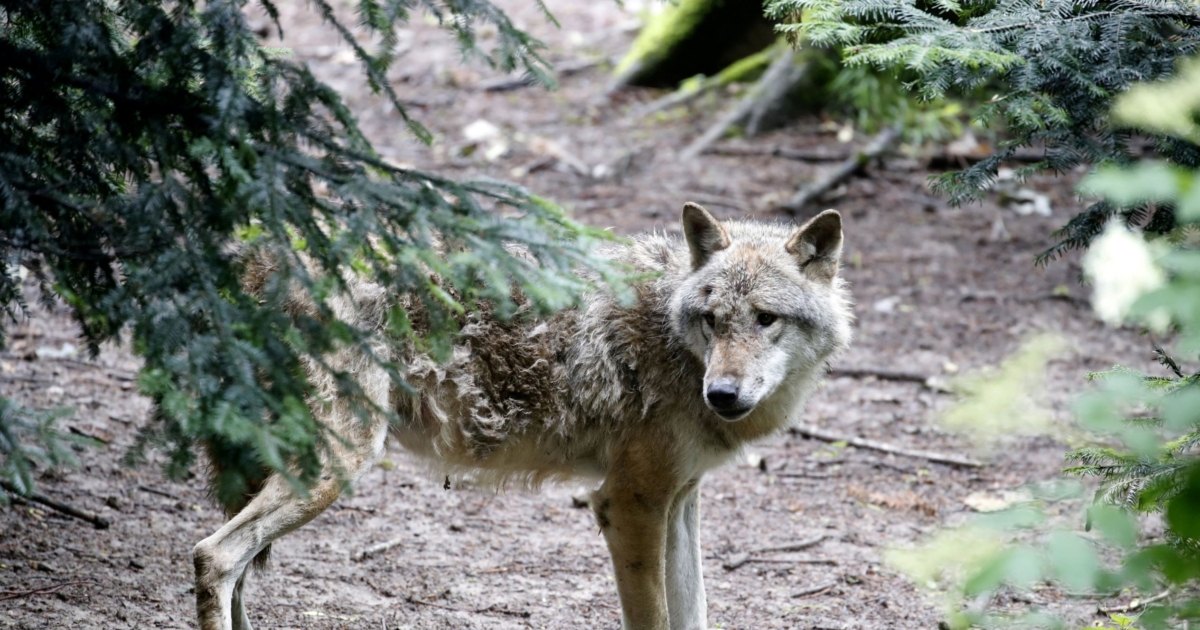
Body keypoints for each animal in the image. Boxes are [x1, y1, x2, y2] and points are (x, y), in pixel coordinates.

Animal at [192, 203, 852, 630]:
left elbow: (694, 617)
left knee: (238, 566)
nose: (723, 394)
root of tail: (251, 258)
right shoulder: (628, 503)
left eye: (765, 319)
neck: (674, 345)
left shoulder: (681, 500)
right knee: (214, 556)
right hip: (335, 467)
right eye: (713, 320)